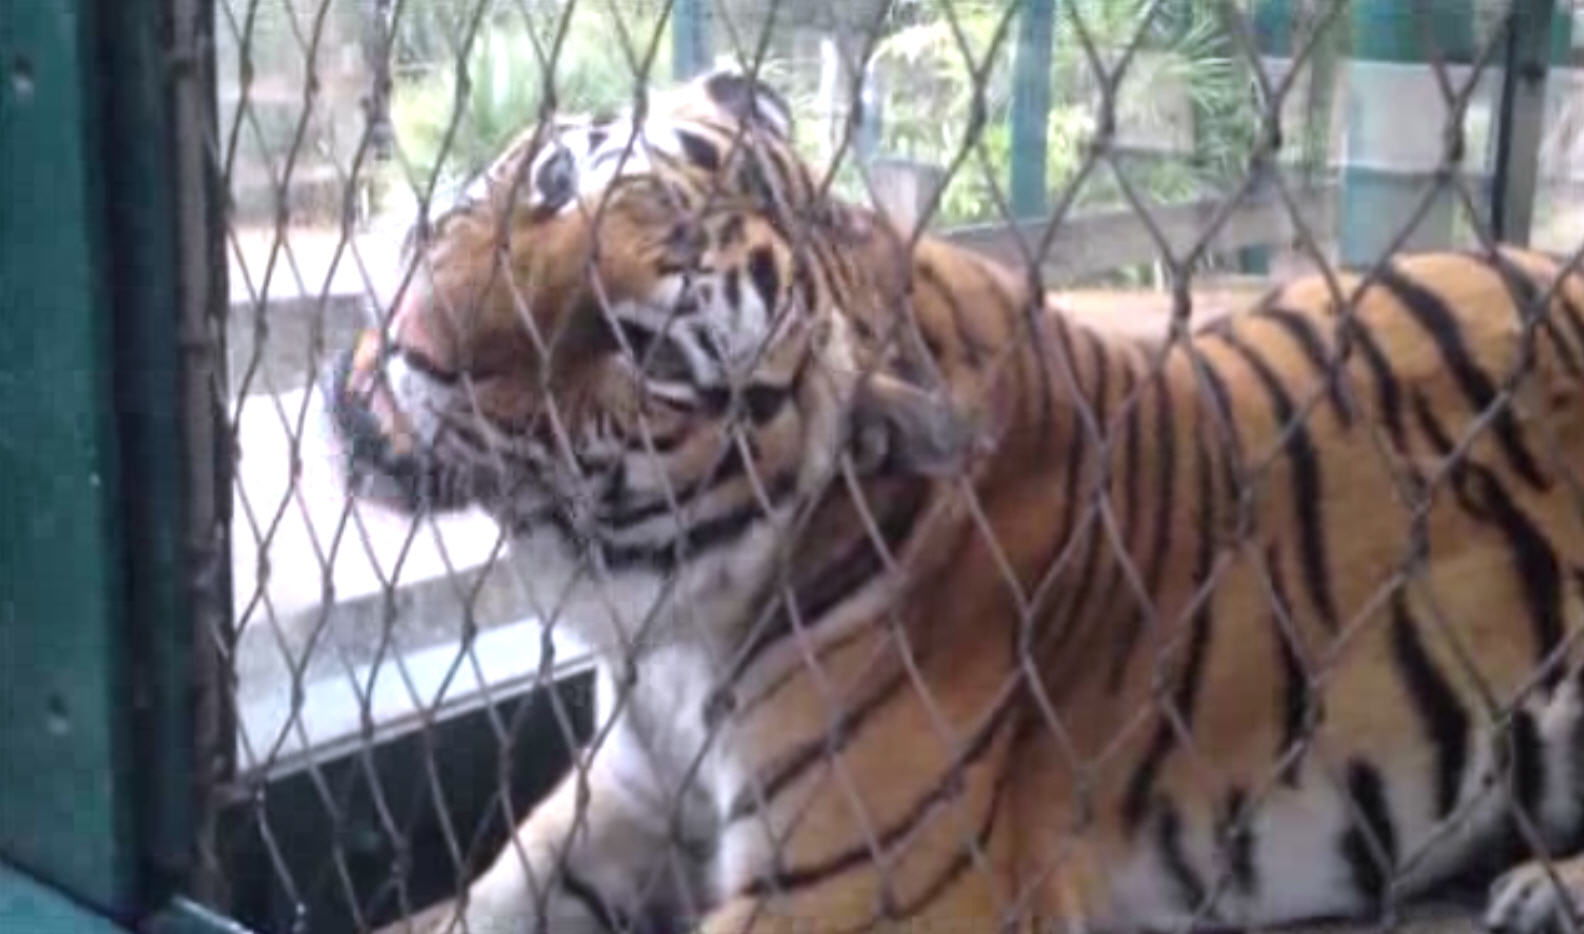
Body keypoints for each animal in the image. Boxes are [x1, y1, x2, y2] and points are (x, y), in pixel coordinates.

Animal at [326, 68, 1584, 933]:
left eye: (643, 349)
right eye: (552, 183)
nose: (412, 339)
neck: (674, 628)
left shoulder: (855, 891)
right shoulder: (620, 795)